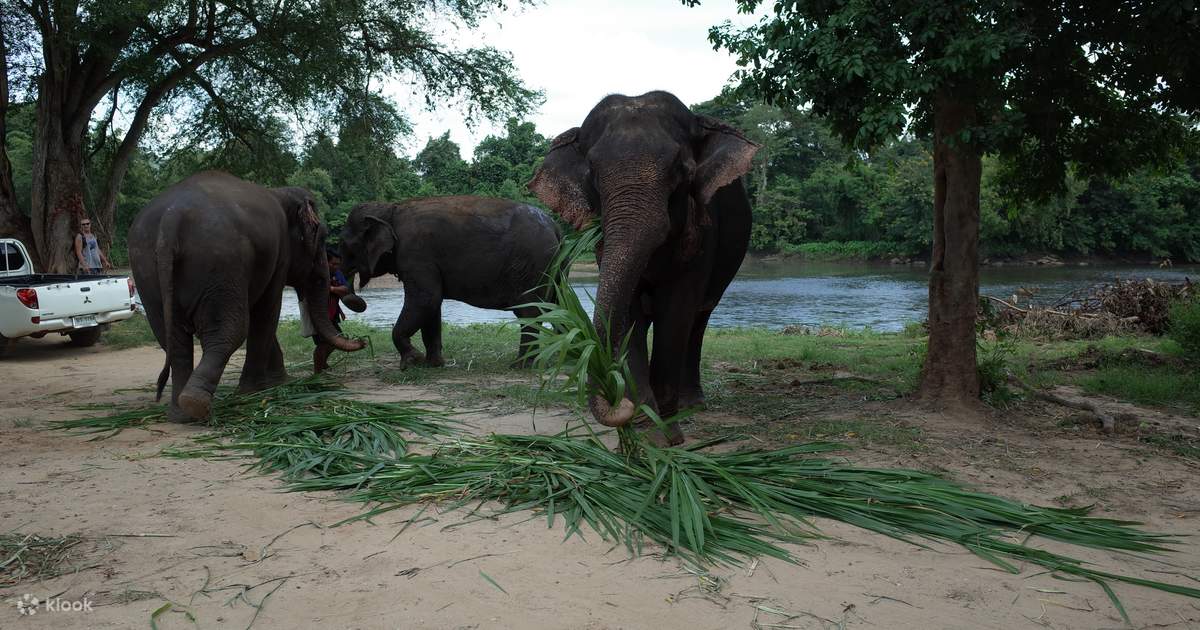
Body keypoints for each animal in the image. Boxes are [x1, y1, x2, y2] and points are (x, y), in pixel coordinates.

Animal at [128, 171, 366, 421]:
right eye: (322, 238)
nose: (361, 340)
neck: (279, 192)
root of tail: (171, 219)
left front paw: (279, 383)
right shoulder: (279, 256)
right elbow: (267, 312)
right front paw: (260, 391)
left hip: (147, 271)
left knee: (172, 337)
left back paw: (180, 414)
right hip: (222, 264)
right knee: (229, 331)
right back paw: (197, 404)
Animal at [338, 197, 562, 367]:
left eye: (346, 246)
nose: (360, 301)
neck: (390, 208)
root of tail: (554, 225)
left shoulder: (415, 253)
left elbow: (426, 300)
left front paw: (412, 361)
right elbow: (432, 306)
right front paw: (433, 365)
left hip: (532, 263)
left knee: (529, 311)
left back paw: (521, 365)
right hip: (553, 265)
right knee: (557, 304)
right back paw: (565, 356)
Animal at [528, 91, 759, 446]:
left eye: (681, 169)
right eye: (592, 173)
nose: (617, 402)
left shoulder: (703, 233)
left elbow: (676, 311)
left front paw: (668, 437)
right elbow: (630, 314)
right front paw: (644, 428)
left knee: (699, 319)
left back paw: (693, 405)